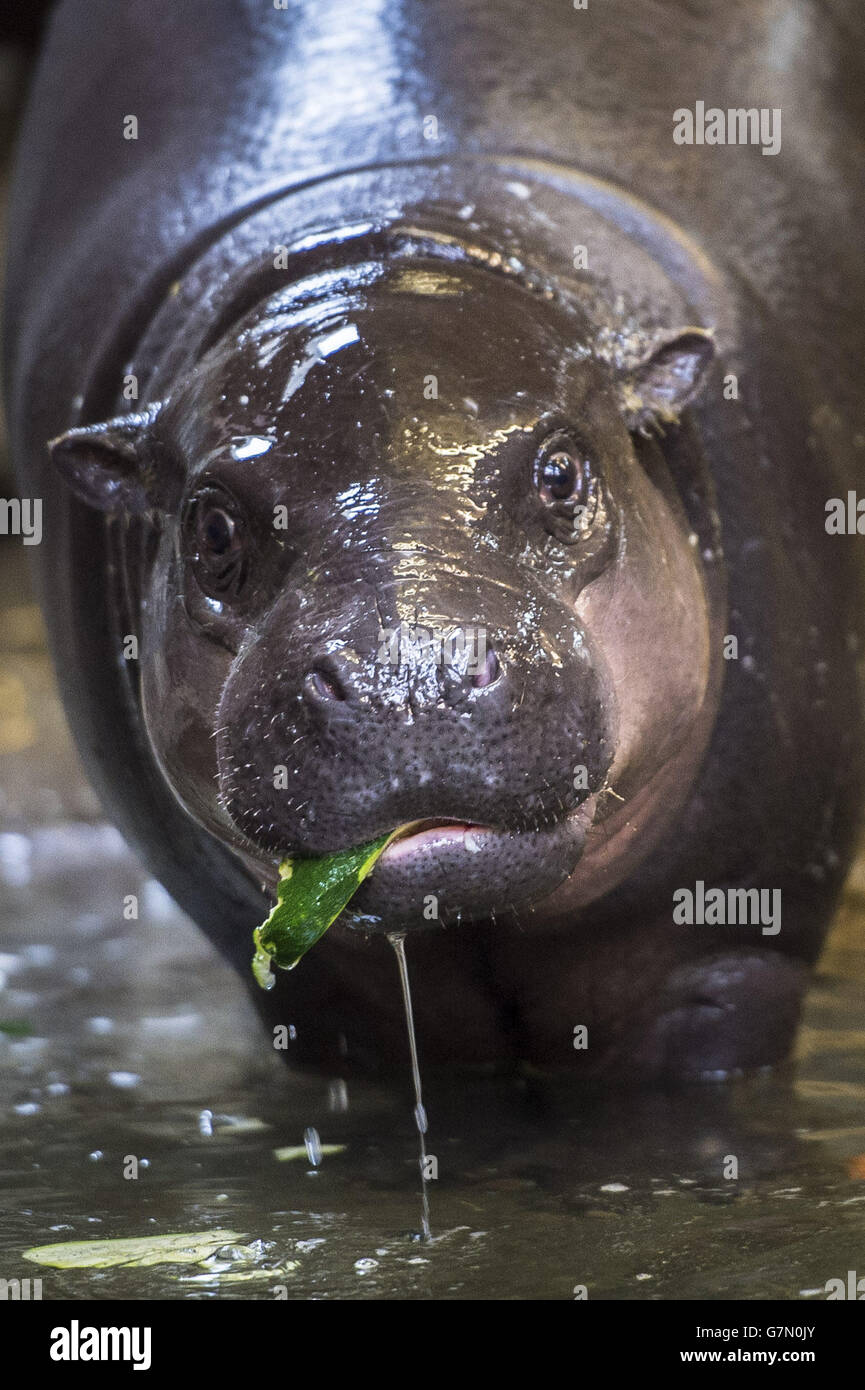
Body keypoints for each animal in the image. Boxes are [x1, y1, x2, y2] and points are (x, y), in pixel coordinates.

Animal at [4, 0, 865, 1080]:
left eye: (562, 472)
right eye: (210, 525)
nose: (408, 674)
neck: (403, 233)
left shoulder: (722, 961)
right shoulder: (323, 999)